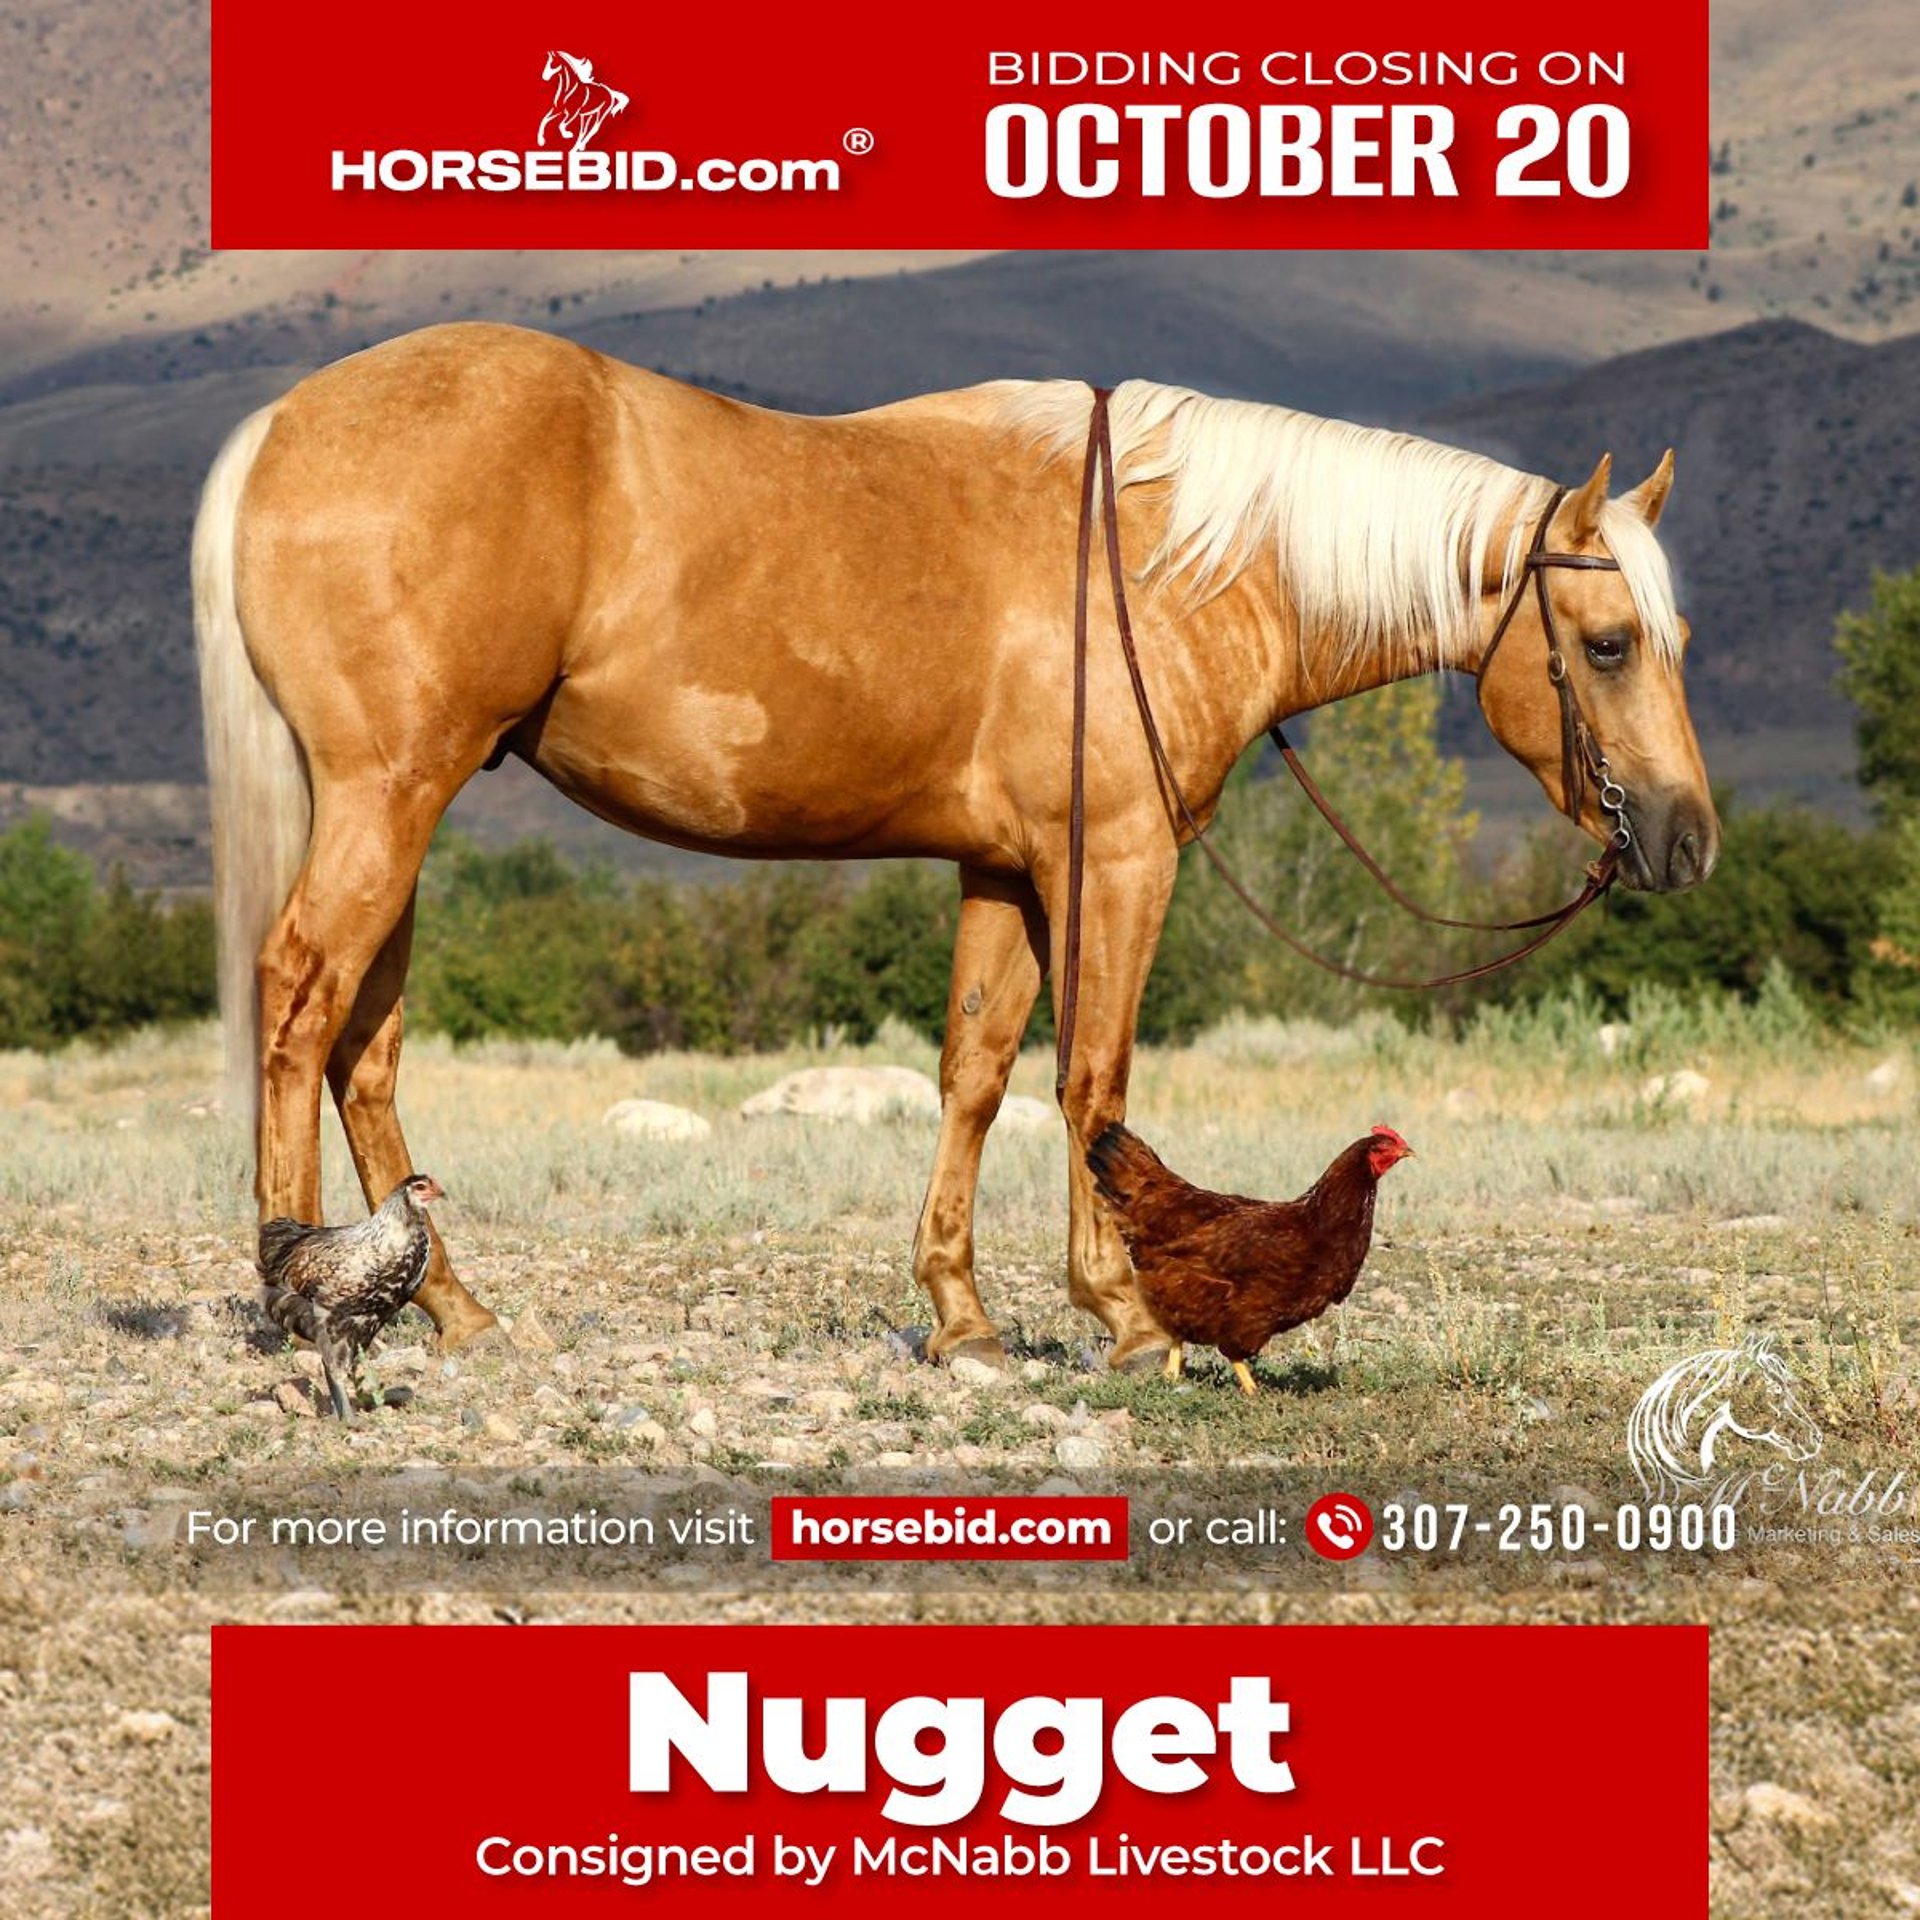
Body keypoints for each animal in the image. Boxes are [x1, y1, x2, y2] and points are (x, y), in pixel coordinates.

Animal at [192, 322, 1719, 1369]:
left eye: (1675, 635)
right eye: (1606, 643)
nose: (1688, 842)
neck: (1169, 561)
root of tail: (284, 421)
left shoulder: (1003, 871)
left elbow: (977, 1075)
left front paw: (962, 1315)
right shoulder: (1115, 863)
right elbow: (1096, 1083)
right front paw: (1124, 1314)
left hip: (396, 811)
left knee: (363, 1049)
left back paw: (456, 1306)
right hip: (389, 796)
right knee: (300, 1002)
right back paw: (296, 1292)